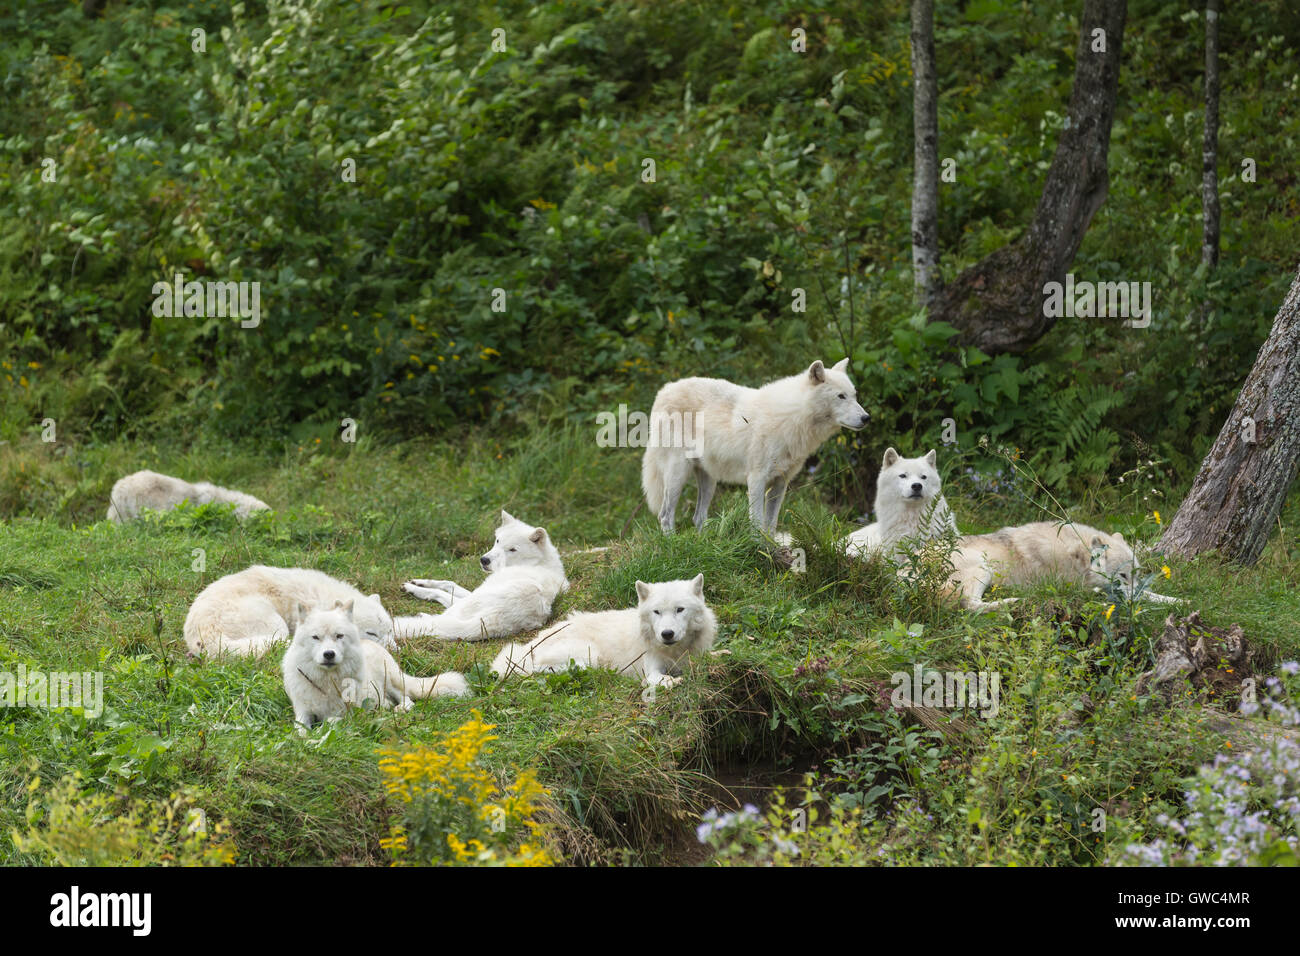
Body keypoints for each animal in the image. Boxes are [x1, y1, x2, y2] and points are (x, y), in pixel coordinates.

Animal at [282, 601, 469, 733]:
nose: (329, 654)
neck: (327, 683)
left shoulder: (350, 714)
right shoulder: (302, 711)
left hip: (390, 680)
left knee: (407, 699)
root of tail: (373, 644)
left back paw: (399, 709)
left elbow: (330, 721)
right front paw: (305, 738)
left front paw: (320, 732)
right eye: (316, 637)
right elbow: (300, 728)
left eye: (339, 636)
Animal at [397, 511, 568, 642]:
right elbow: (449, 582)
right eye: (497, 541)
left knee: (444, 613)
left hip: (468, 603)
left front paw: (413, 587)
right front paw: (420, 581)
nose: (484, 560)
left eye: (512, 549)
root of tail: (494, 618)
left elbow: (443, 589)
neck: (537, 564)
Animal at [492, 575, 716, 690]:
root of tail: (529, 645)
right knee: (541, 670)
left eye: (680, 609)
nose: (667, 634)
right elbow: (660, 680)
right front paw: (673, 681)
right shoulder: (650, 670)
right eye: (657, 612)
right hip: (589, 654)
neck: (675, 652)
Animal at [642, 359, 870, 534]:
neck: (792, 416)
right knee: (665, 515)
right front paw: (759, 550)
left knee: (698, 517)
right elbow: (758, 524)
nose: (866, 418)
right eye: (841, 396)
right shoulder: (756, 479)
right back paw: (673, 545)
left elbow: (771, 524)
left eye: (854, 395)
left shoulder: (780, 483)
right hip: (678, 474)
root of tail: (663, 391)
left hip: (709, 479)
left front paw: (771, 550)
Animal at [945, 521, 1181, 612]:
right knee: (969, 605)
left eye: (1136, 575)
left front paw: (1180, 601)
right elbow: (1147, 596)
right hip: (983, 566)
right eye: (1122, 575)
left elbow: (1151, 593)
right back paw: (1013, 601)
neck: (1075, 554)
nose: (1133, 600)